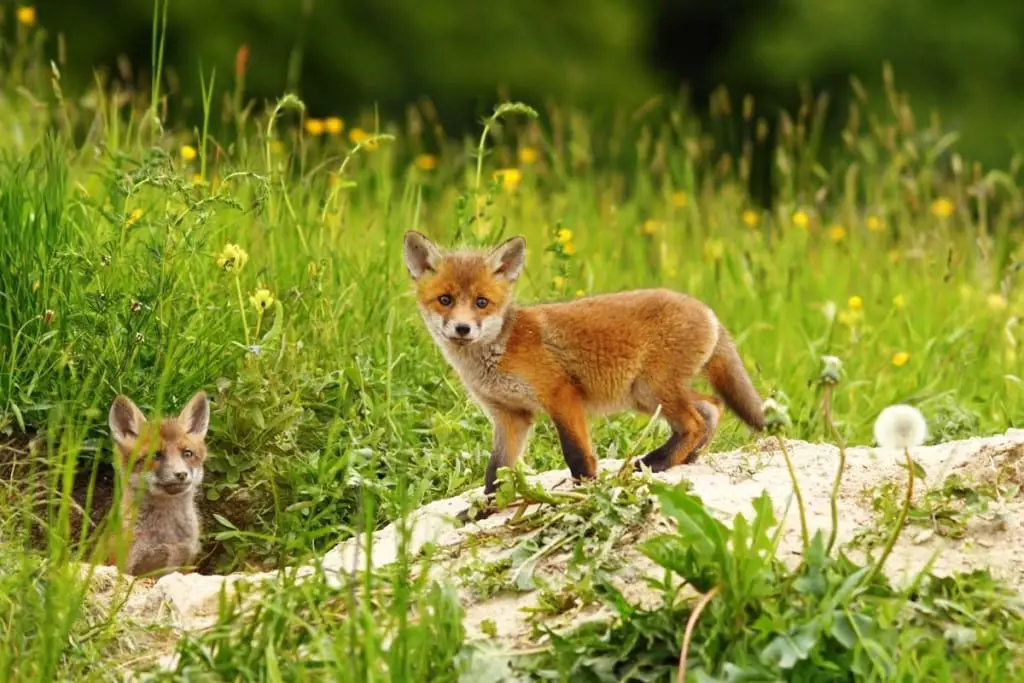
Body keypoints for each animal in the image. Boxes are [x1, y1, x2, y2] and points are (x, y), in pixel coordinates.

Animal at [106, 391, 210, 577]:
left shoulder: (185, 562)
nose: (181, 474)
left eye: (187, 454)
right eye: (156, 456)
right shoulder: (126, 564)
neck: (166, 535)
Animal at [402, 230, 765, 498]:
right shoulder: (510, 415)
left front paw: (586, 490)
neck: (499, 352)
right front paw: (486, 510)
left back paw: (655, 463)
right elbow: (496, 471)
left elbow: (577, 454)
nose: (462, 329)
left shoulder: (561, 395)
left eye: (481, 302)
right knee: (712, 407)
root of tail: (707, 310)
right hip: (646, 396)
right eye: (445, 300)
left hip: (653, 389)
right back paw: (686, 459)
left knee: (694, 422)